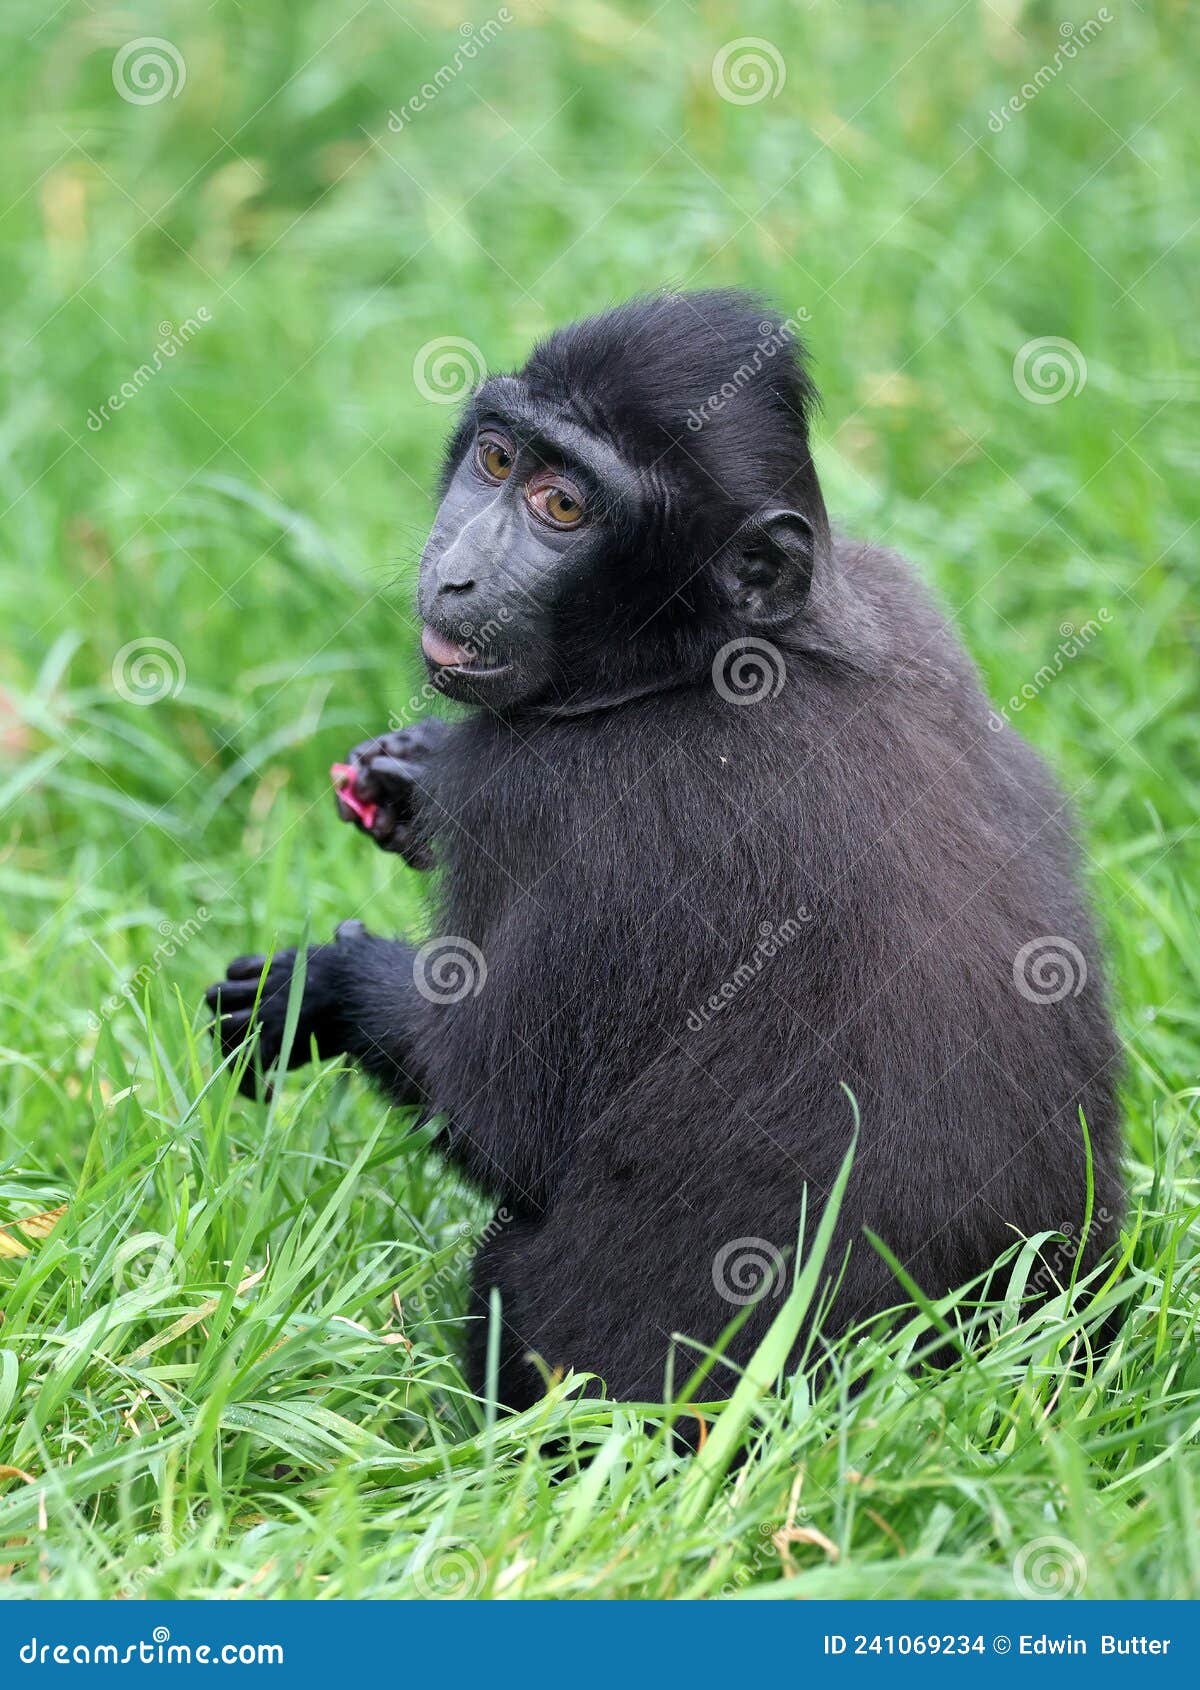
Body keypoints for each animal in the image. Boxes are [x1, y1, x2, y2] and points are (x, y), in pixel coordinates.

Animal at [207, 290, 1123, 1412]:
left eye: (564, 507)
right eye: (497, 460)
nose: (454, 573)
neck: (728, 655)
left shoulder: (568, 804)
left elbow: (504, 1121)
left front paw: (320, 987)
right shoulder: (901, 598)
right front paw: (409, 773)